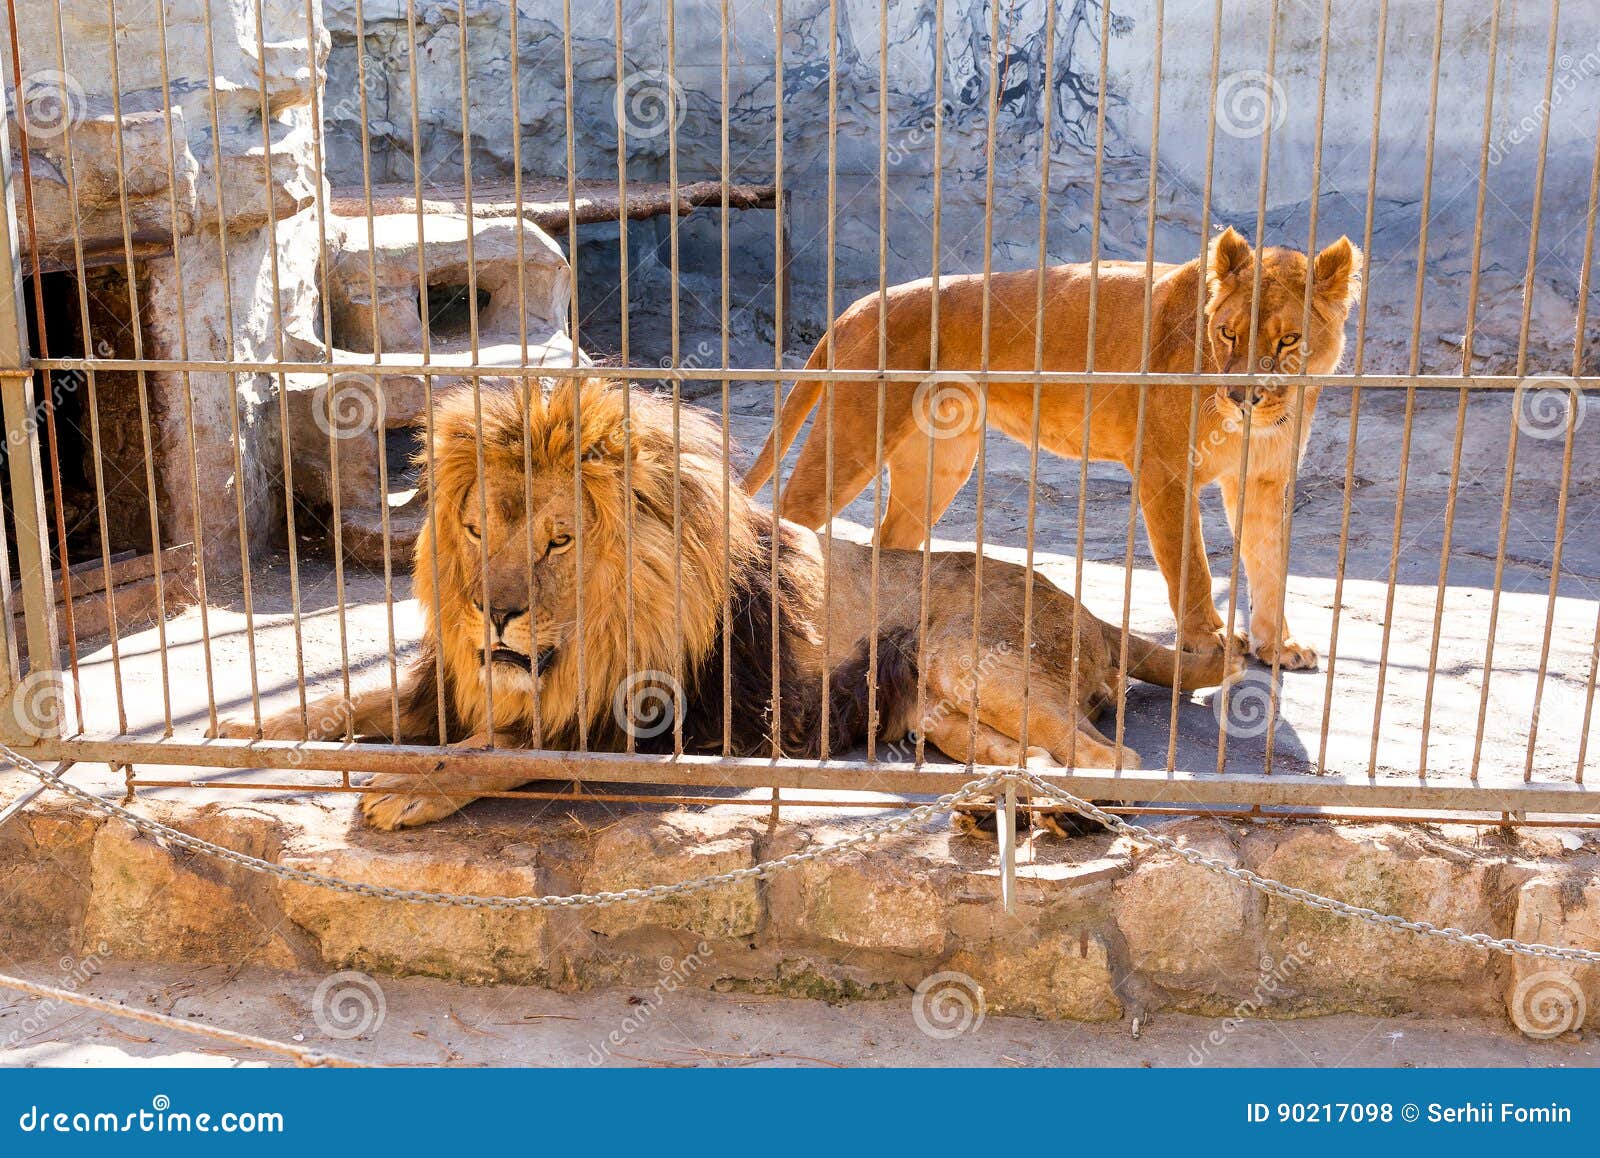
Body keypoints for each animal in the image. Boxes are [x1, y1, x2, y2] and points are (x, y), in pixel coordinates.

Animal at [213, 379, 1241, 830]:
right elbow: (338, 703)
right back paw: (1006, 806)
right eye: (474, 530)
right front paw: (234, 733)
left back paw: (1060, 814)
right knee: (1039, 753)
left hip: (966, 654)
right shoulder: (451, 685)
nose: (493, 617)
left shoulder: (639, 722)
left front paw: (405, 785)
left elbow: (495, 754)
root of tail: (1098, 615)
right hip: (934, 711)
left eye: (558, 540)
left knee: (1116, 758)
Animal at [743, 227, 1363, 670]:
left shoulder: (1264, 481)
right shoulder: (1164, 470)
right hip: (853, 438)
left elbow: (1269, 565)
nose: (1242, 396)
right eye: (1229, 333)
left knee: (886, 542)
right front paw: (1207, 639)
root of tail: (858, 305)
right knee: (787, 517)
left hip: (939, 463)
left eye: (1289, 340)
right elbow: (1192, 565)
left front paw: (1278, 646)